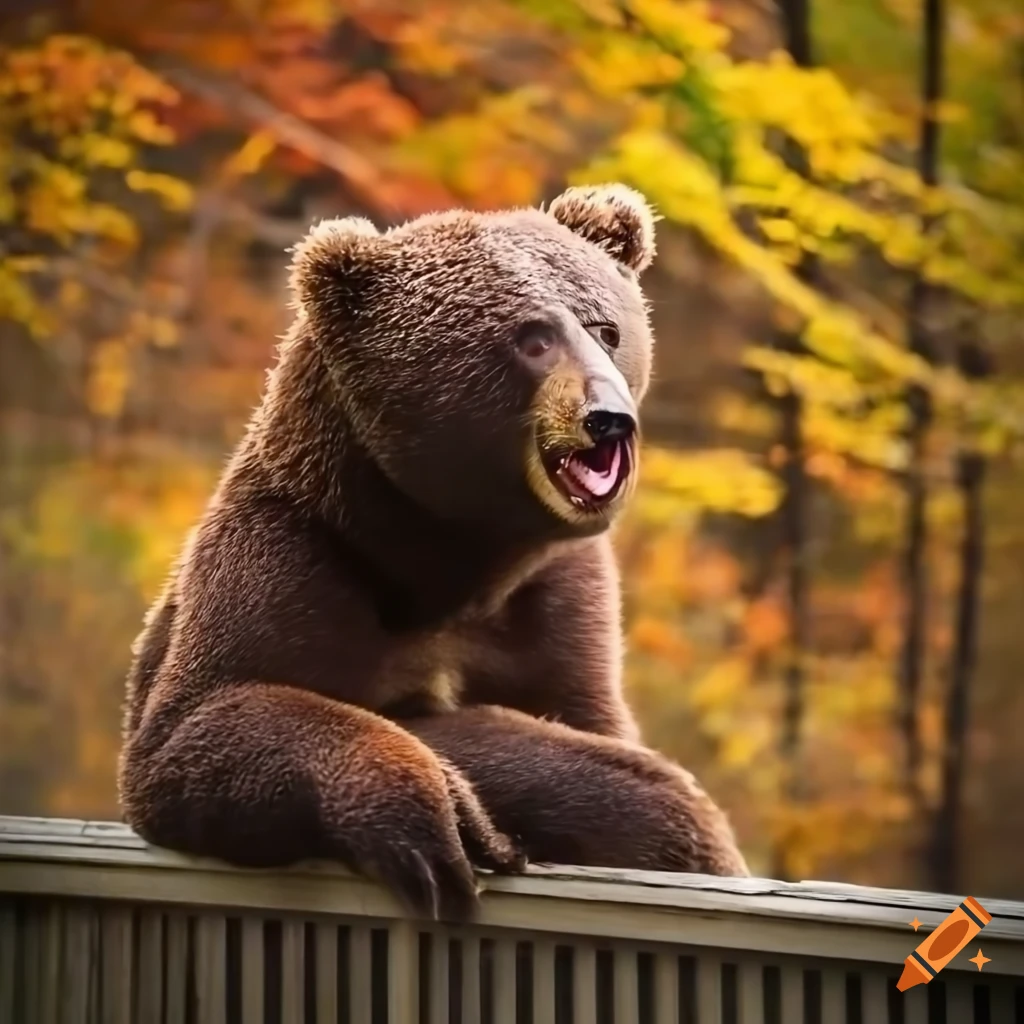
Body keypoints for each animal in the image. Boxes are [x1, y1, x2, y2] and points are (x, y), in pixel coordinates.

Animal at [118, 183, 749, 922]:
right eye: (533, 338)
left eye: (606, 329)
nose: (607, 419)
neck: (449, 551)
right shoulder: (292, 560)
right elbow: (200, 726)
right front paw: (444, 822)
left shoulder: (558, 602)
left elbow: (591, 724)